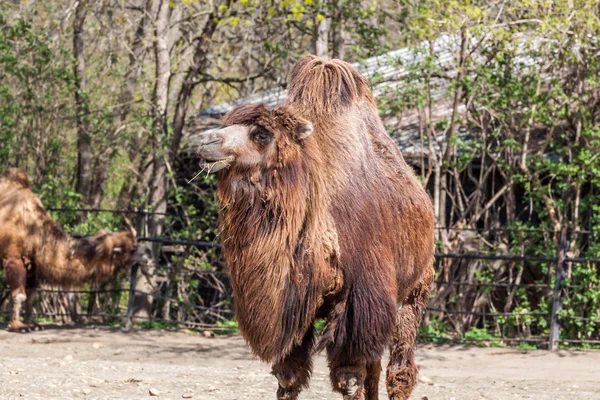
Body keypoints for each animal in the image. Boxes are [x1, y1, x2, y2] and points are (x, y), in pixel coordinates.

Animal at [1, 168, 151, 332]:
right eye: (132, 248)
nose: (148, 252)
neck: (35, 232)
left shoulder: (33, 265)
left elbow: (30, 296)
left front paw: (31, 324)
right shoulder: (13, 257)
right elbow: (19, 295)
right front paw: (17, 326)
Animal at [197, 56, 436, 400]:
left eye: (261, 134)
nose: (205, 141)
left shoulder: (360, 304)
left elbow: (350, 379)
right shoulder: (292, 309)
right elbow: (288, 377)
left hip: (416, 287)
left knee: (398, 366)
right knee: (375, 366)